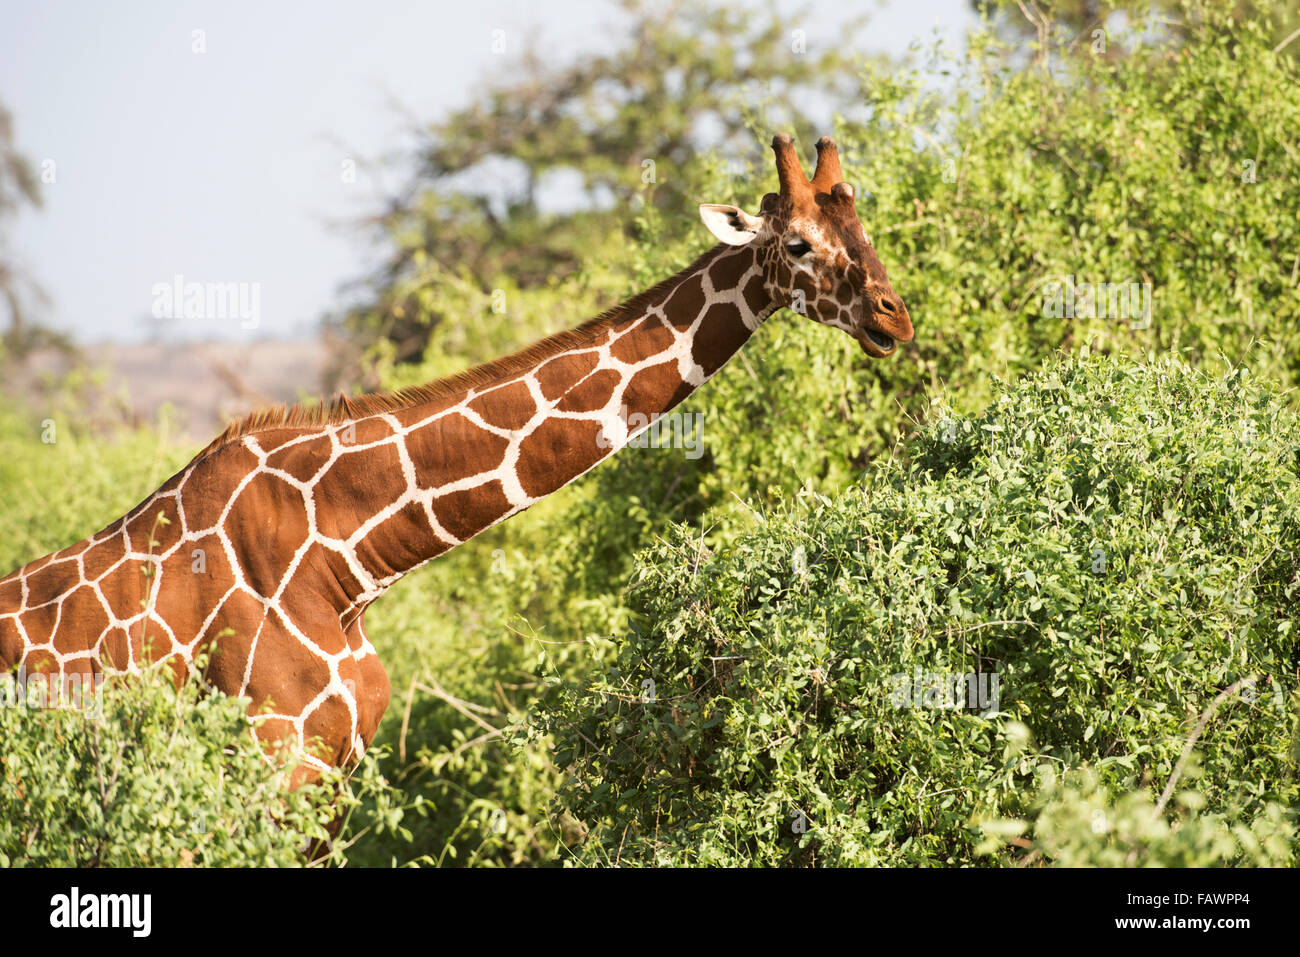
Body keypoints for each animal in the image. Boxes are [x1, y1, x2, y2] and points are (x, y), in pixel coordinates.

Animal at [0, 134, 913, 780]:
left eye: (863, 228)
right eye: (797, 244)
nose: (893, 316)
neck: (346, 560)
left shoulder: (335, 769)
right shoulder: (274, 760)